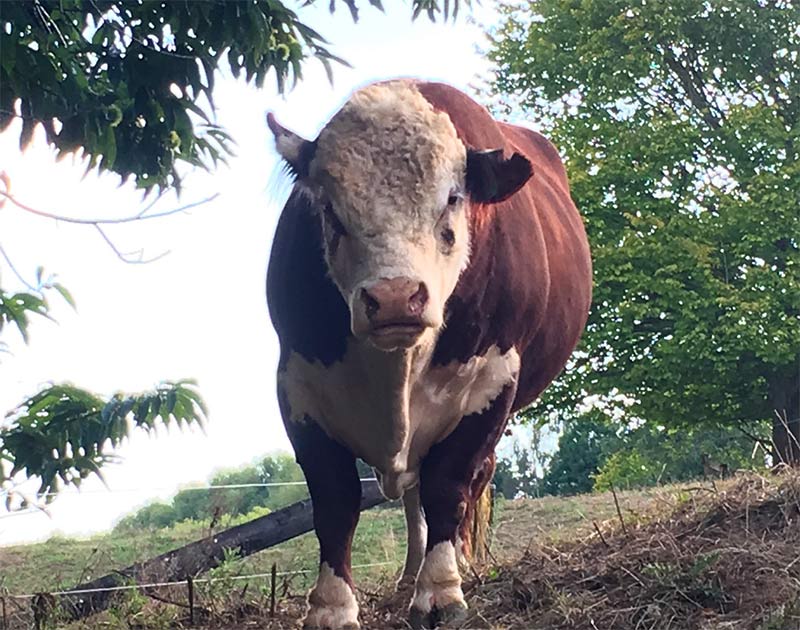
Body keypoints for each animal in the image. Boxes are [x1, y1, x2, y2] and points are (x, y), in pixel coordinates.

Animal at [266, 79, 592, 629]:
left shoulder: (492, 381)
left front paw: (440, 591)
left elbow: (449, 485)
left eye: (453, 198)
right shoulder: (298, 386)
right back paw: (409, 575)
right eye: (329, 210)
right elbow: (334, 500)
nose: (395, 296)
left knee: (464, 483)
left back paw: (455, 563)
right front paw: (332, 606)